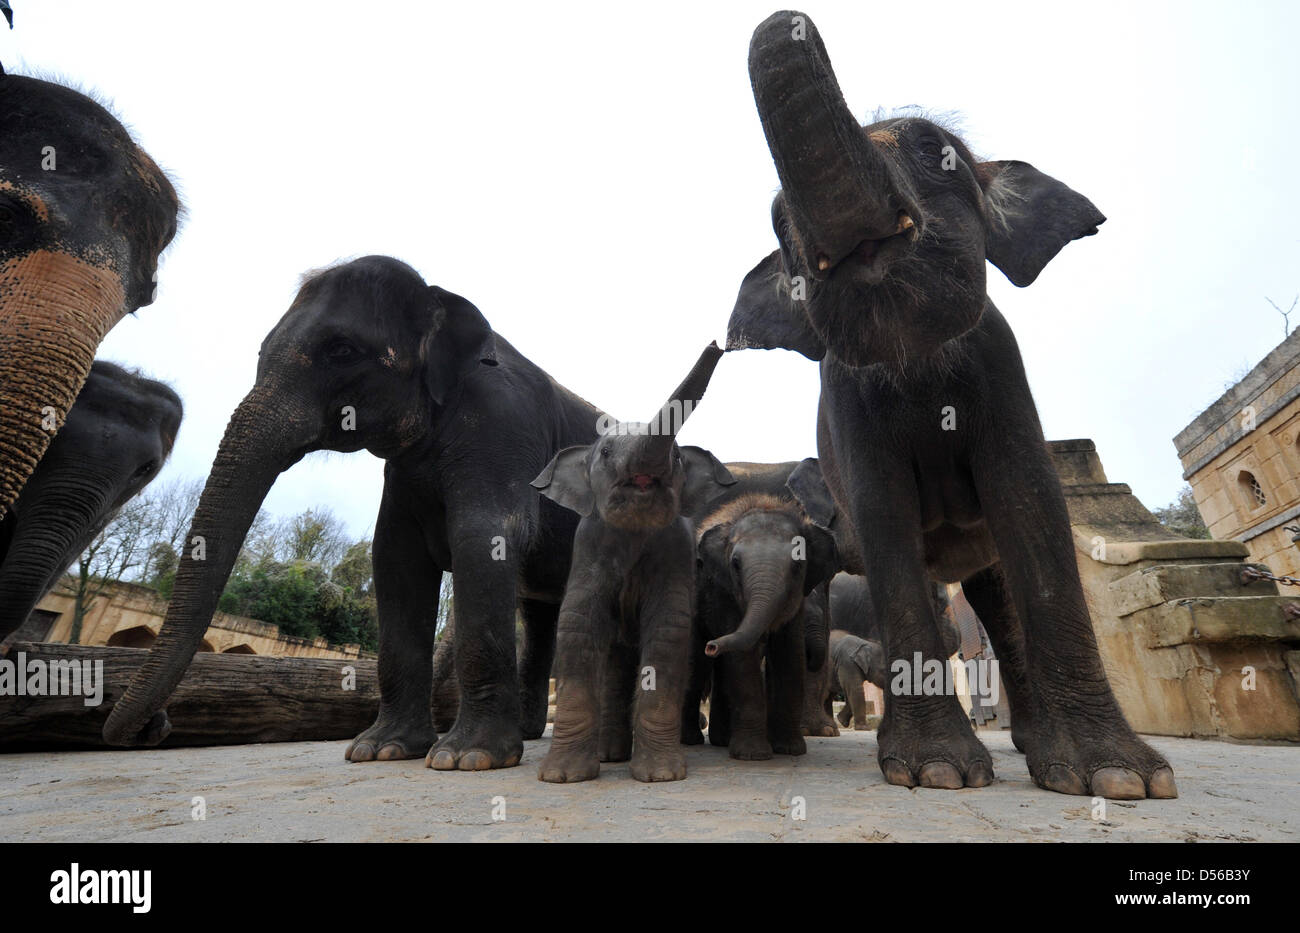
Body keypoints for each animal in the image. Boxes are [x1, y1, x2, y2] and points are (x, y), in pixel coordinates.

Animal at [532, 343, 726, 783]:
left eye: (676, 457)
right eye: (605, 452)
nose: (719, 344)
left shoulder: (676, 551)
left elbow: (669, 630)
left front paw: (660, 776)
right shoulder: (588, 545)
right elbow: (578, 625)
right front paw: (562, 777)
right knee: (613, 659)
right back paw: (609, 755)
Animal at [684, 493, 838, 759]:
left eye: (798, 566)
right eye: (735, 564)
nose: (712, 646)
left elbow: (789, 654)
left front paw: (790, 750)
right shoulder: (723, 592)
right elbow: (743, 657)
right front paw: (753, 755)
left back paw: (722, 741)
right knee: (697, 663)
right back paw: (690, 741)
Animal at [726, 11, 1175, 799]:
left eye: (941, 159)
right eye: (781, 225)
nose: (787, 20)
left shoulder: (1000, 365)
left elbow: (1030, 500)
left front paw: (1119, 780)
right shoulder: (846, 405)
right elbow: (883, 513)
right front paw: (936, 771)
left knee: (993, 588)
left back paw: (1035, 748)